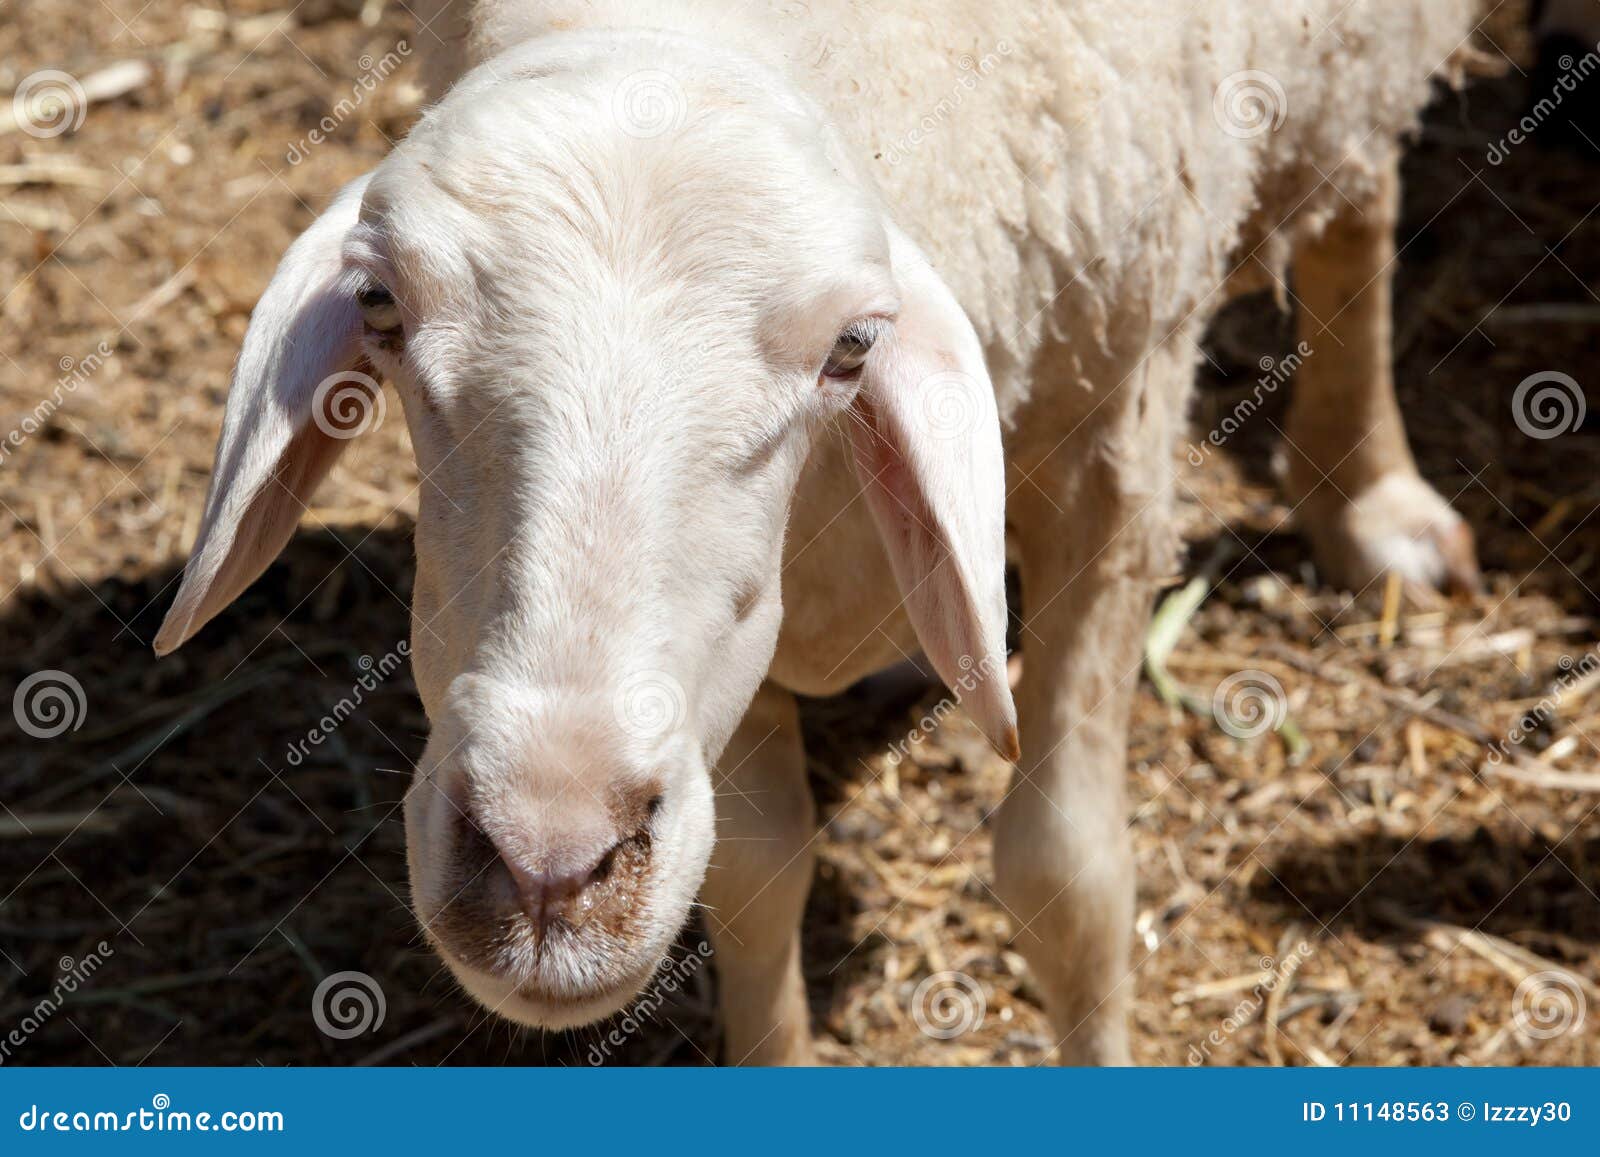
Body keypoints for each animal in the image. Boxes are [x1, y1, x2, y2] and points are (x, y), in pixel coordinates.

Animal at [156, 0, 1483, 1063]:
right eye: (378, 304)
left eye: (853, 346)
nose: (545, 860)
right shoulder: (732, 647)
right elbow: (753, 876)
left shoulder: (1114, 445)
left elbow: (1067, 880)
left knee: (1360, 196)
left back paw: (1368, 497)